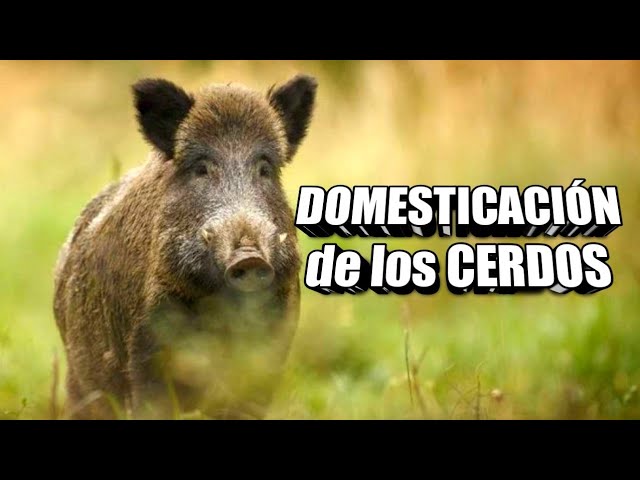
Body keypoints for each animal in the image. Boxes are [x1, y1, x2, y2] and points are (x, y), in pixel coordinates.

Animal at [53, 74, 317, 419]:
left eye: (265, 169)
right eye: (201, 168)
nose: (249, 258)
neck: (221, 308)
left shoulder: (273, 342)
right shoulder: (148, 344)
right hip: (81, 379)